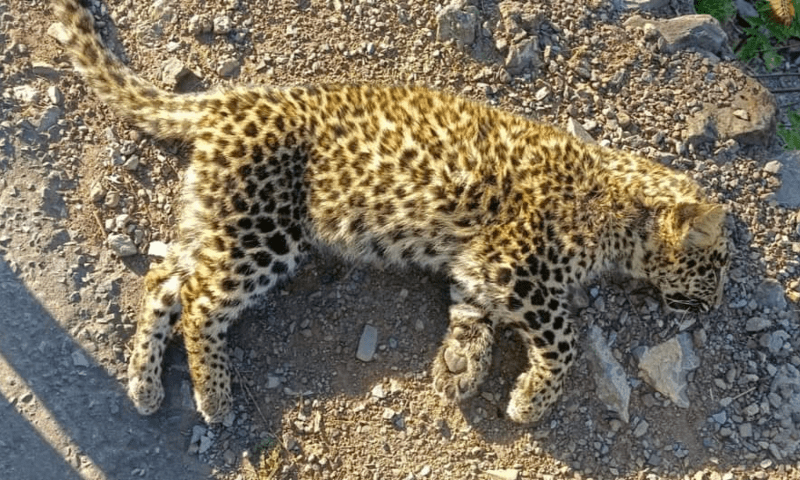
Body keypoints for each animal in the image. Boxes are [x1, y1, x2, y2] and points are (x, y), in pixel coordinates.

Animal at [53, 0, 729, 425]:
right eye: (717, 265)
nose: (714, 307)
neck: (623, 206)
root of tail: (224, 104)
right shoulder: (518, 266)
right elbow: (563, 338)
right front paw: (531, 402)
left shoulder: (480, 268)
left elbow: (471, 313)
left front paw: (459, 368)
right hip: (264, 233)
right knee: (198, 302)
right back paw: (214, 397)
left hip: (217, 218)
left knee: (163, 279)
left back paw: (144, 384)